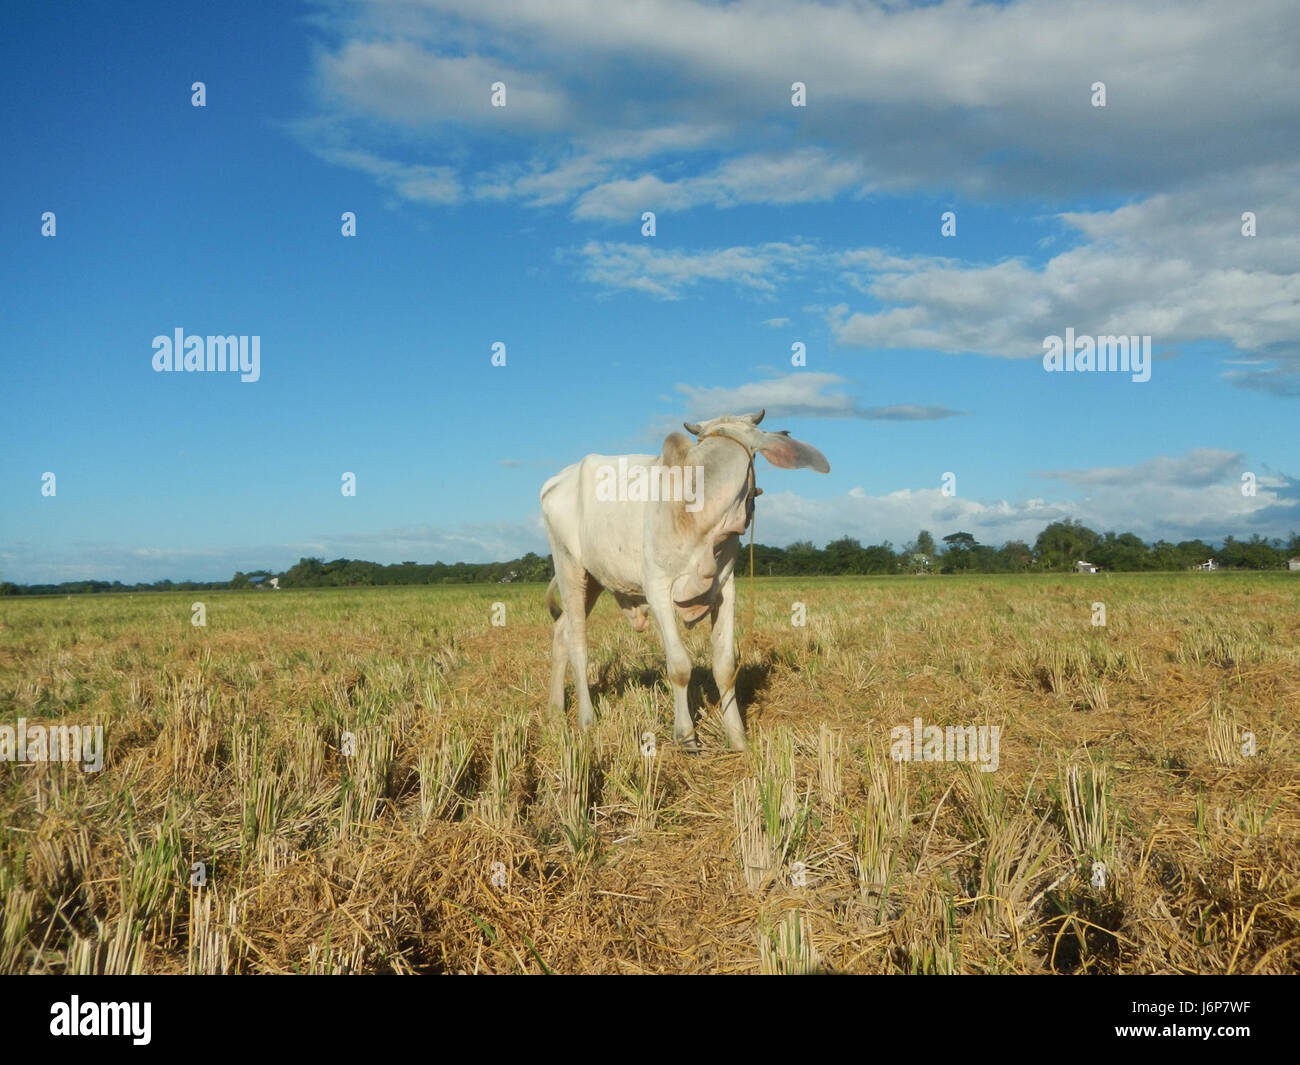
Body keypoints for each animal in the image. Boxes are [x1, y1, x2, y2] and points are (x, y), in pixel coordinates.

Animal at [541, 410, 829, 752]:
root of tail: (556, 481)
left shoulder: (725, 589)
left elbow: (725, 666)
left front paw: (737, 737)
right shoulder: (657, 588)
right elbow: (679, 667)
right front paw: (686, 735)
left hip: (594, 580)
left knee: (562, 631)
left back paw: (555, 710)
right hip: (570, 567)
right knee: (577, 642)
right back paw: (586, 718)